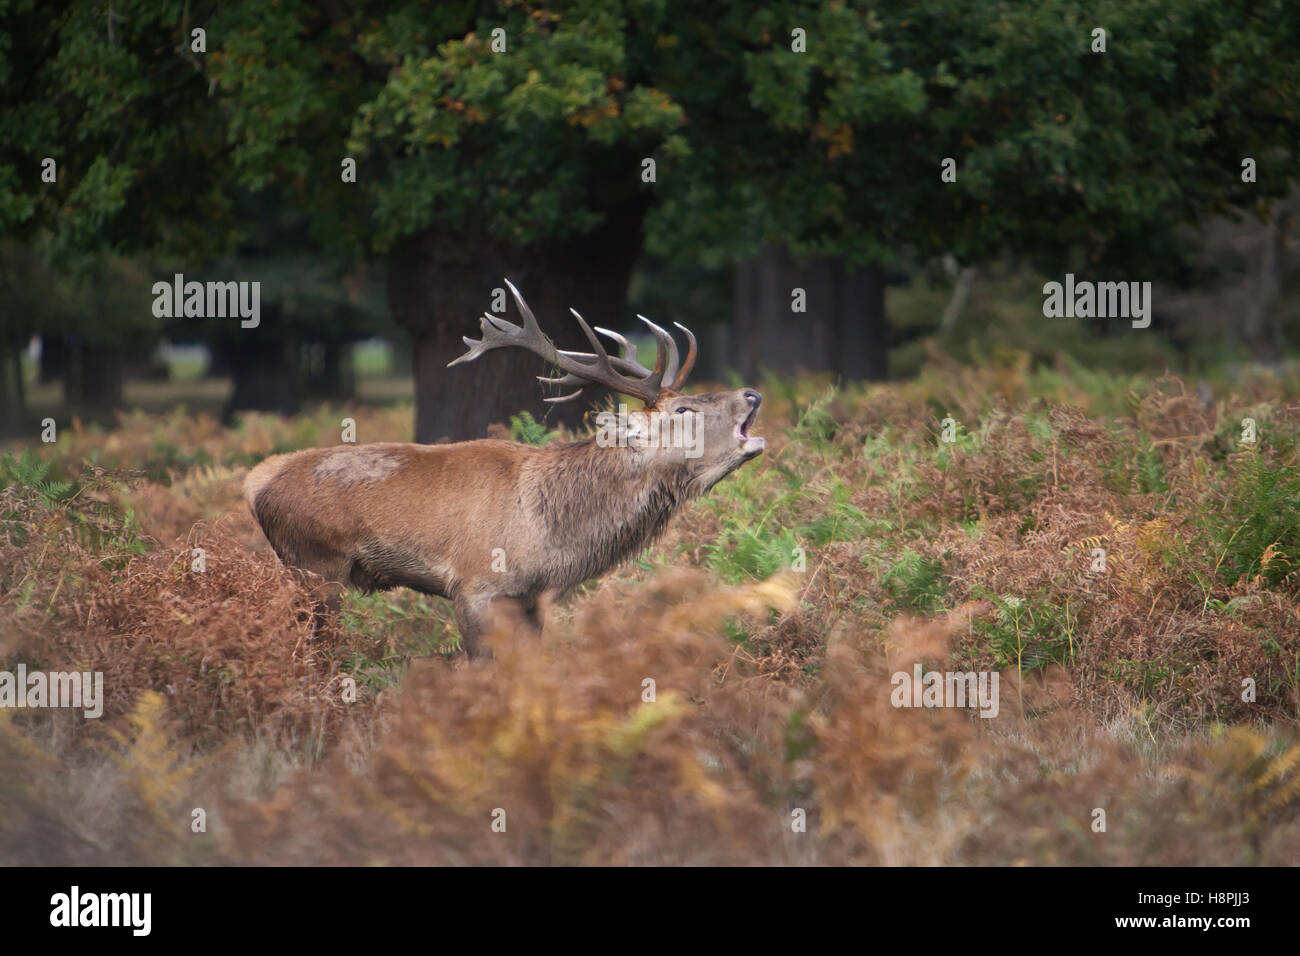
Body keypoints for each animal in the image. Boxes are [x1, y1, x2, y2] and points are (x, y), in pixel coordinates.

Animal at [243, 281, 765, 658]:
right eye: (682, 411)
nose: (752, 393)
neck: (549, 535)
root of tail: (256, 483)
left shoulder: (530, 597)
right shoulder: (474, 584)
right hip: (314, 566)